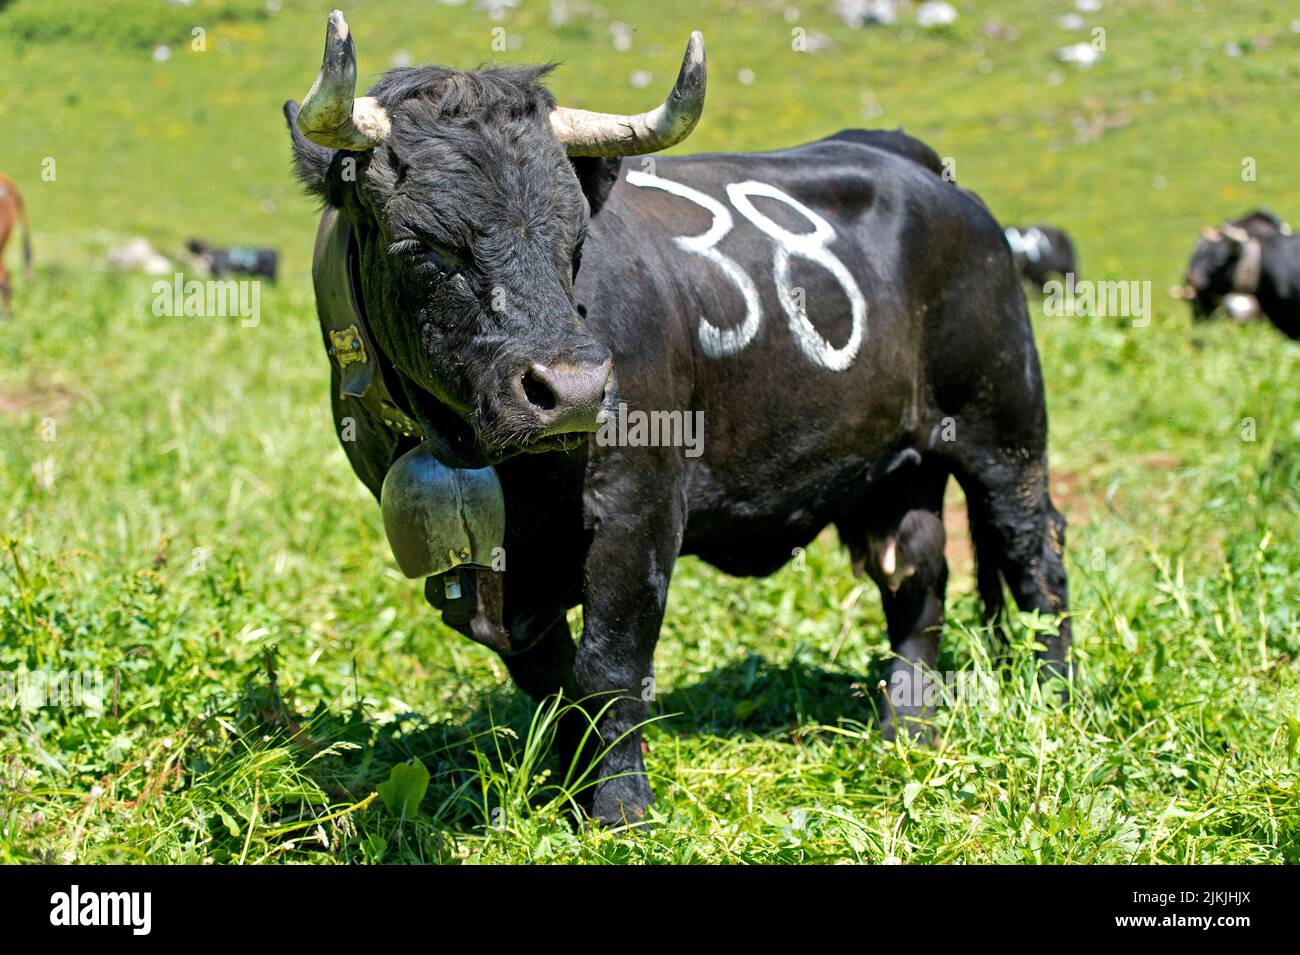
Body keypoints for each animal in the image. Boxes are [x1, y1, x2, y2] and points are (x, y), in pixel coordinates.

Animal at [284, 11, 1071, 824]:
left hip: (1004, 427)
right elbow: (551, 675)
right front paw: (570, 785)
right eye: (419, 246)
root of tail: (909, 159)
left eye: (575, 241)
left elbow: (610, 665)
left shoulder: (641, 505)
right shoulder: (486, 568)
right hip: (895, 466)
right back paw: (906, 730)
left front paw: (620, 808)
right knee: (915, 576)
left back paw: (1050, 703)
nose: (571, 389)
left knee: (1033, 553)